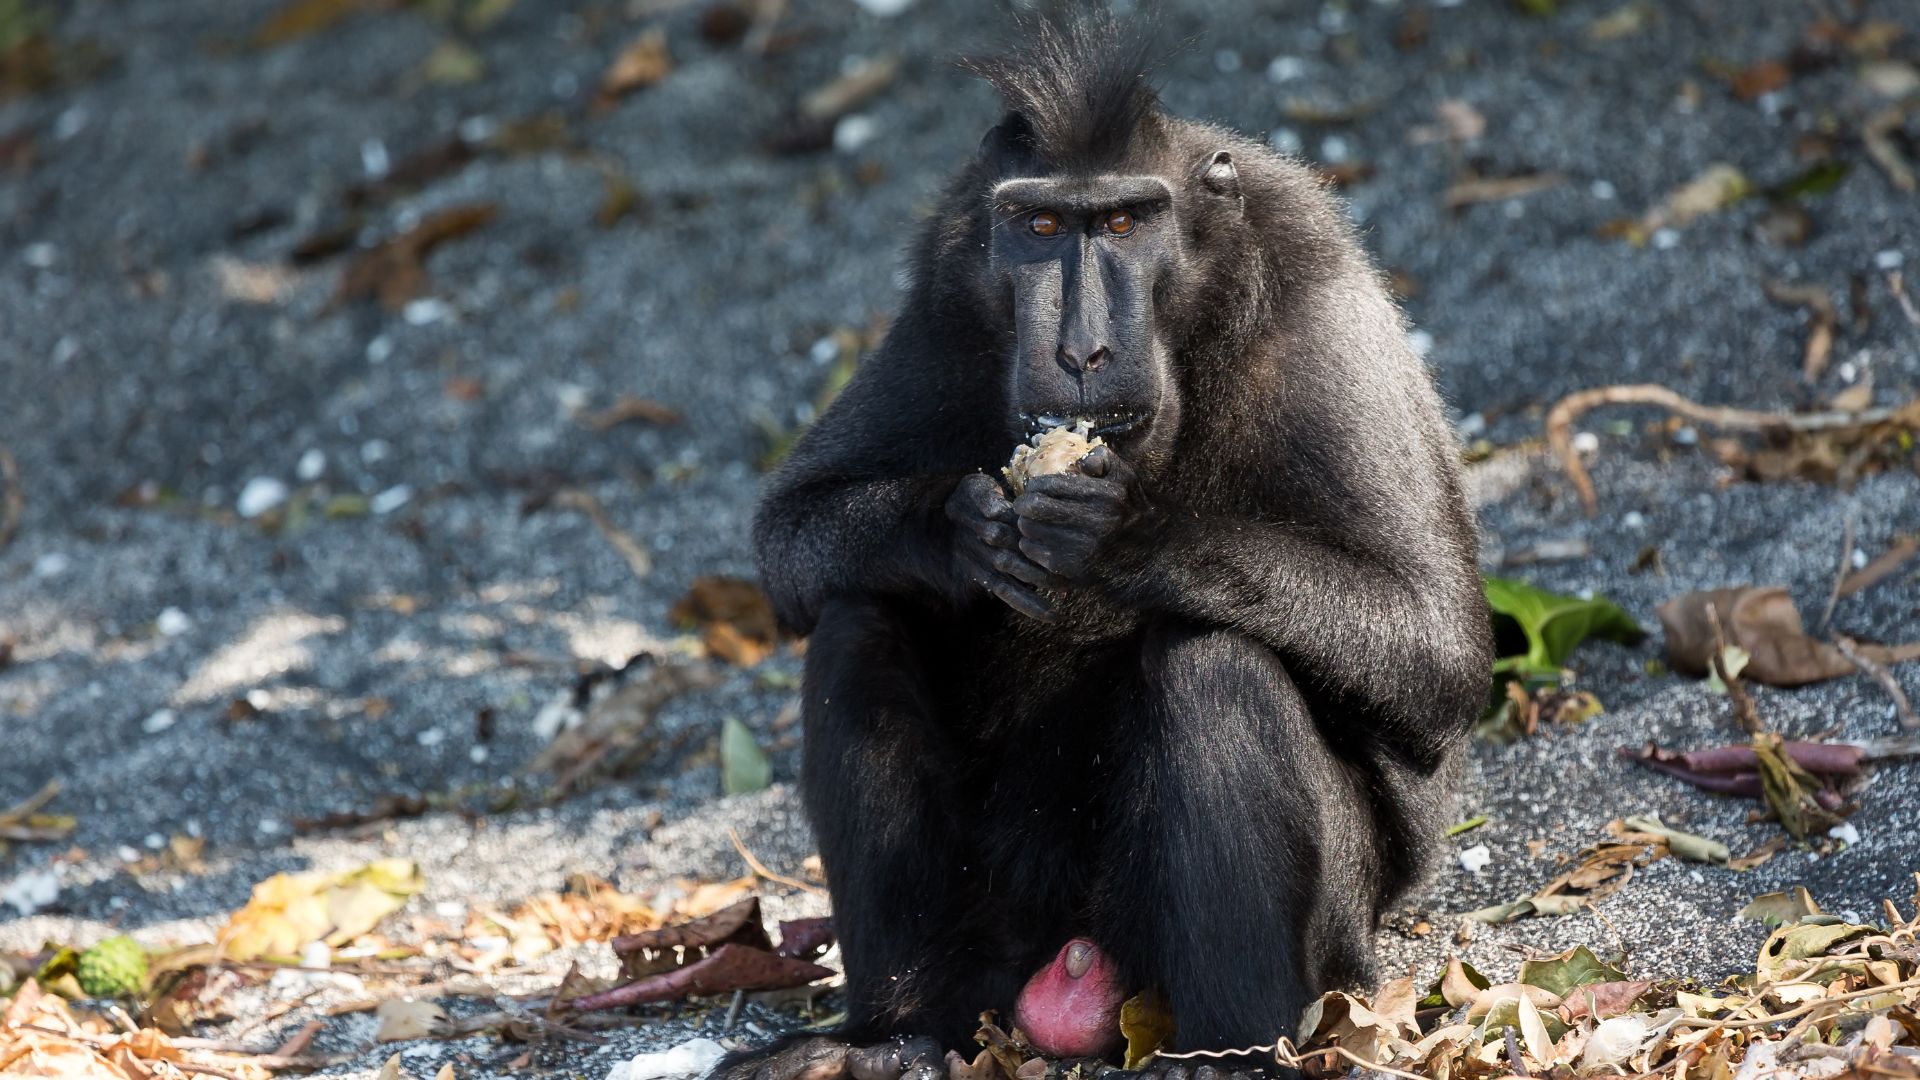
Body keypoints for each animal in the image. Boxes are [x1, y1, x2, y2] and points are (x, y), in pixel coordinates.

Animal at [731, 11, 1491, 1080]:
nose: (1079, 352)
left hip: (1328, 938)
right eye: (1044, 228)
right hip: (1003, 915)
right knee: (860, 618)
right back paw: (896, 1029)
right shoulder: (948, 306)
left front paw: (1120, 535)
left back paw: (1233, 1052)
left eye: (1127, 224)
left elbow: (1440, 648)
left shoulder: (1323, 316)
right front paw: (959, 529)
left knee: (1213, 659)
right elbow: (790, 536)